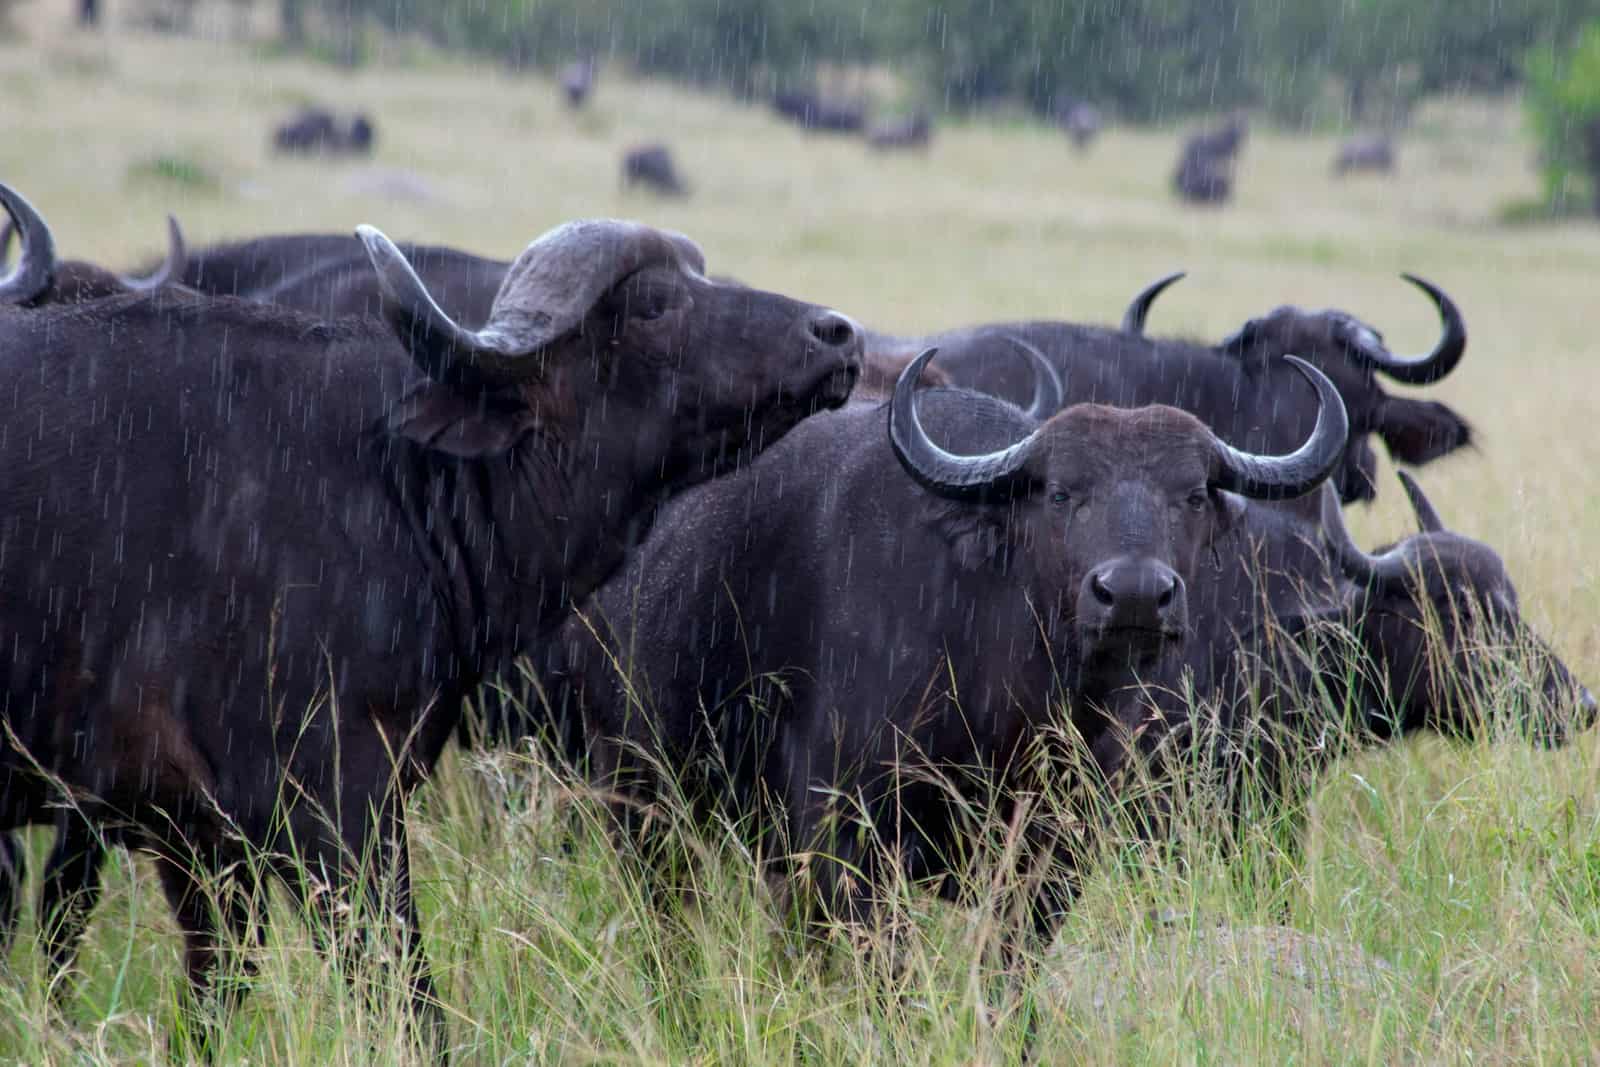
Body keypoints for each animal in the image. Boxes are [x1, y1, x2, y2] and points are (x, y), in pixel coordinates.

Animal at [0, 209, 862, 1051]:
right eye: (652, 304)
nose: (838, 333)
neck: (391, 476)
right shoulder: (328, 807)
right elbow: (406, 991)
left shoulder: (200, 840)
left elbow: (215, 998)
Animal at [539, 349, 1347, 945]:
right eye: (1061, 493)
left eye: (1194, 494)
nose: (1136, 593)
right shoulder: (845, 836)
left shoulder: (1052, 857)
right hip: (637, 790)